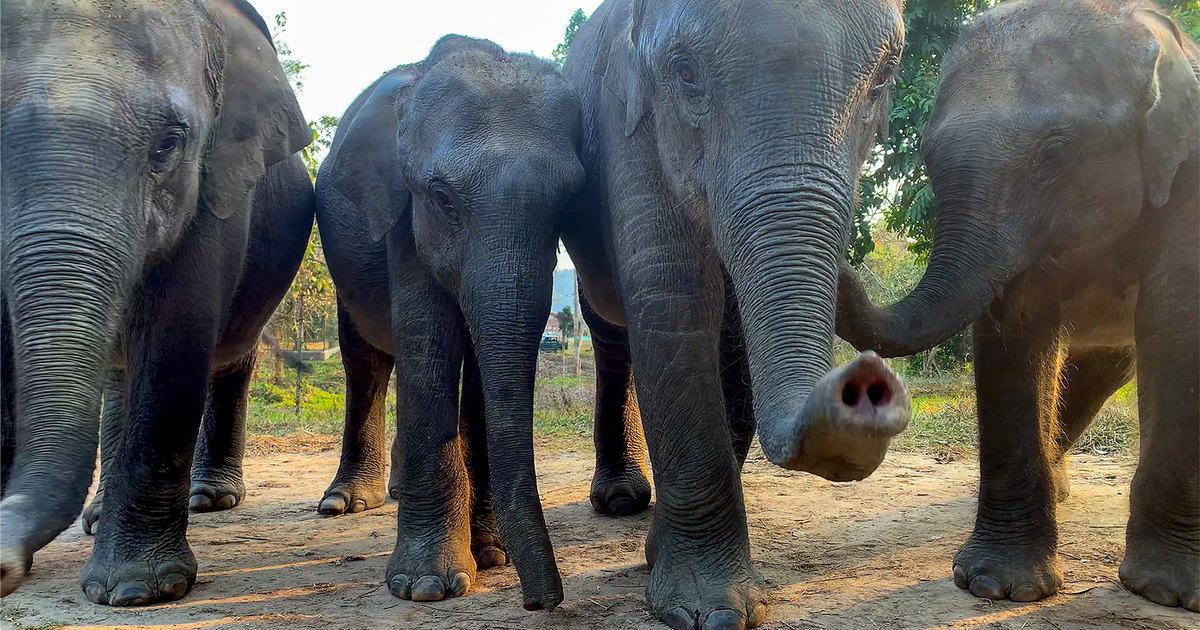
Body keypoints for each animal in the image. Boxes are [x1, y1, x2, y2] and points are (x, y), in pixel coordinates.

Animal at [0, 0, 313, 606]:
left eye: (169, 144)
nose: (6, 566)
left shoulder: (220, 184)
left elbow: (173, 332)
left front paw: (134, 591)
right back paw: (98, 516)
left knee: (229, 362)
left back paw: (210, 500)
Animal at [313, 35, 585, 606]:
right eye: (442, 199)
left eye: (568, 205)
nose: (541, 601)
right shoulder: (401, 217)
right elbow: (430, 342)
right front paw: (425, 586)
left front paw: (492, 555)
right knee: (367, 361)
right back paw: (345, 502)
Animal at [558, 0, 914, 627]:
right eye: (684, 72)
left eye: (884, 77)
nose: (866, 382)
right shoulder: (630, 129)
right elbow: (672, 299)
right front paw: (708, 611)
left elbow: (733, 341)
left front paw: (660, 557)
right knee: (610, 329)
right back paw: (620, 501)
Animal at [836, 0, 1199, 612]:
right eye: (929, 157)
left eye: (1056, 151)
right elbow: (1016, 326)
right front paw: (998, 587)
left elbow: (1177, 320)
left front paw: (1167, 592)